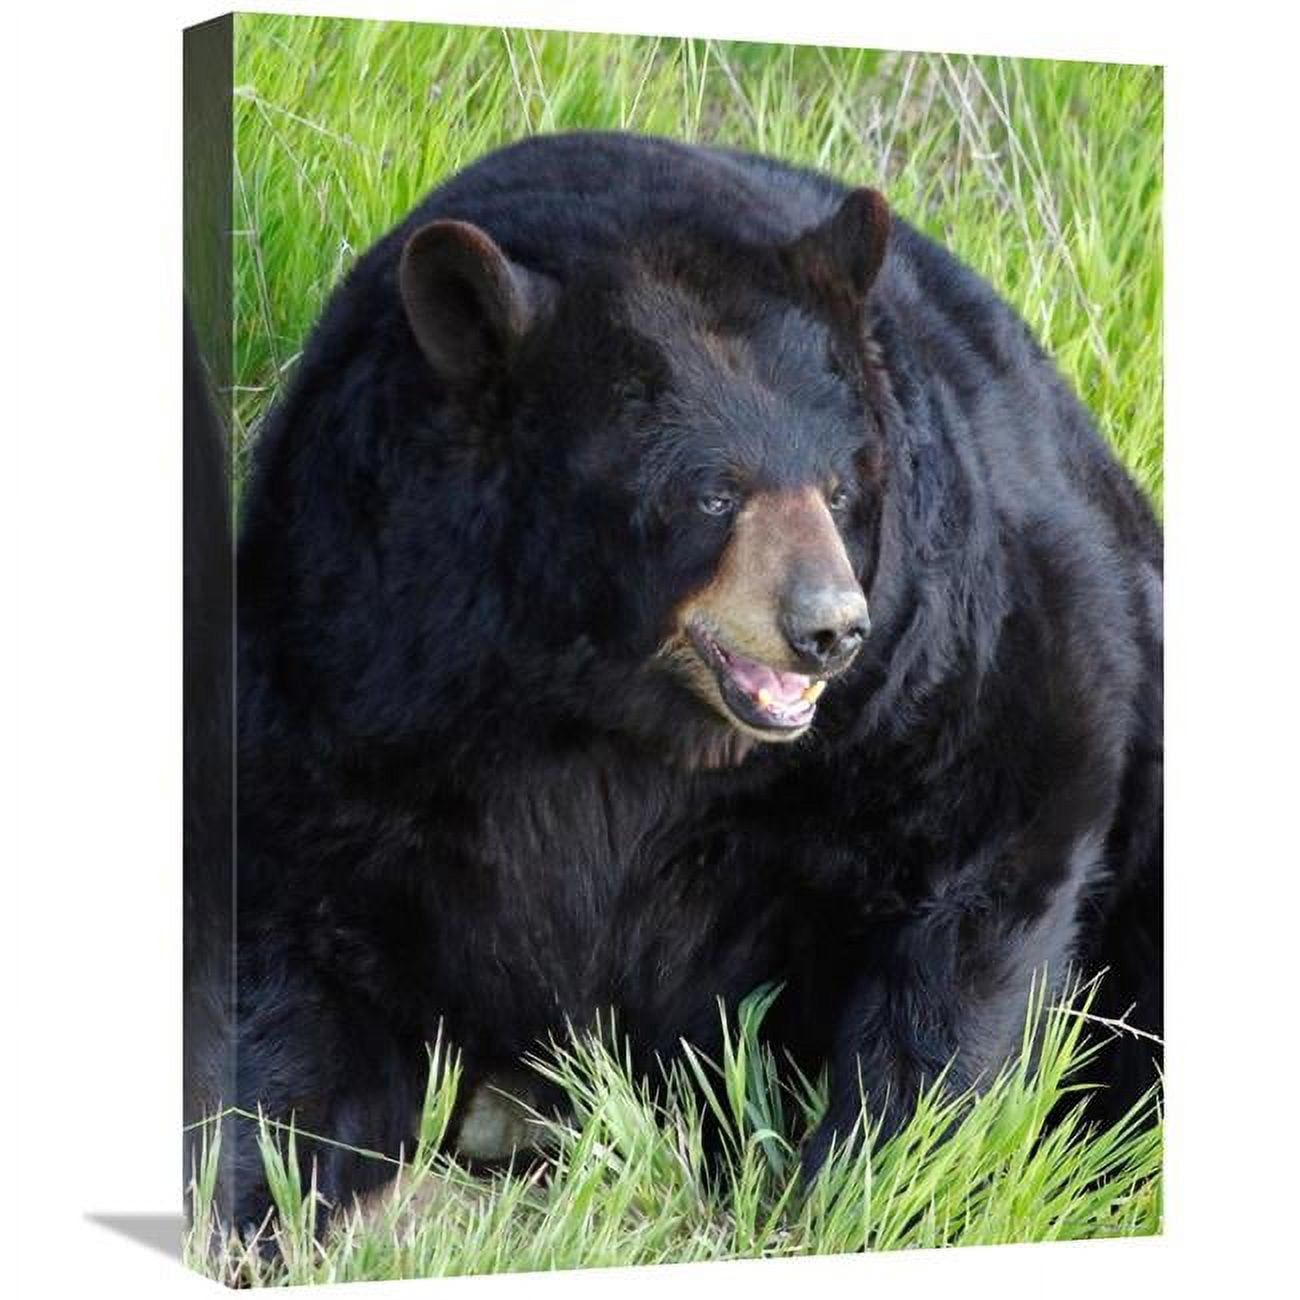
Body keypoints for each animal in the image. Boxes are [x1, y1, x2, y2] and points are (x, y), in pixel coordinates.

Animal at [186, 130, 1162, 1232]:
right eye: (712, 493)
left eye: (839, 485)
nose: (829, 629)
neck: (613, 713)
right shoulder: (353, 660)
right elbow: (306, 936)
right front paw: (249, 1194)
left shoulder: (929, 670)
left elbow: (987, 854)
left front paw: (858, 1190)